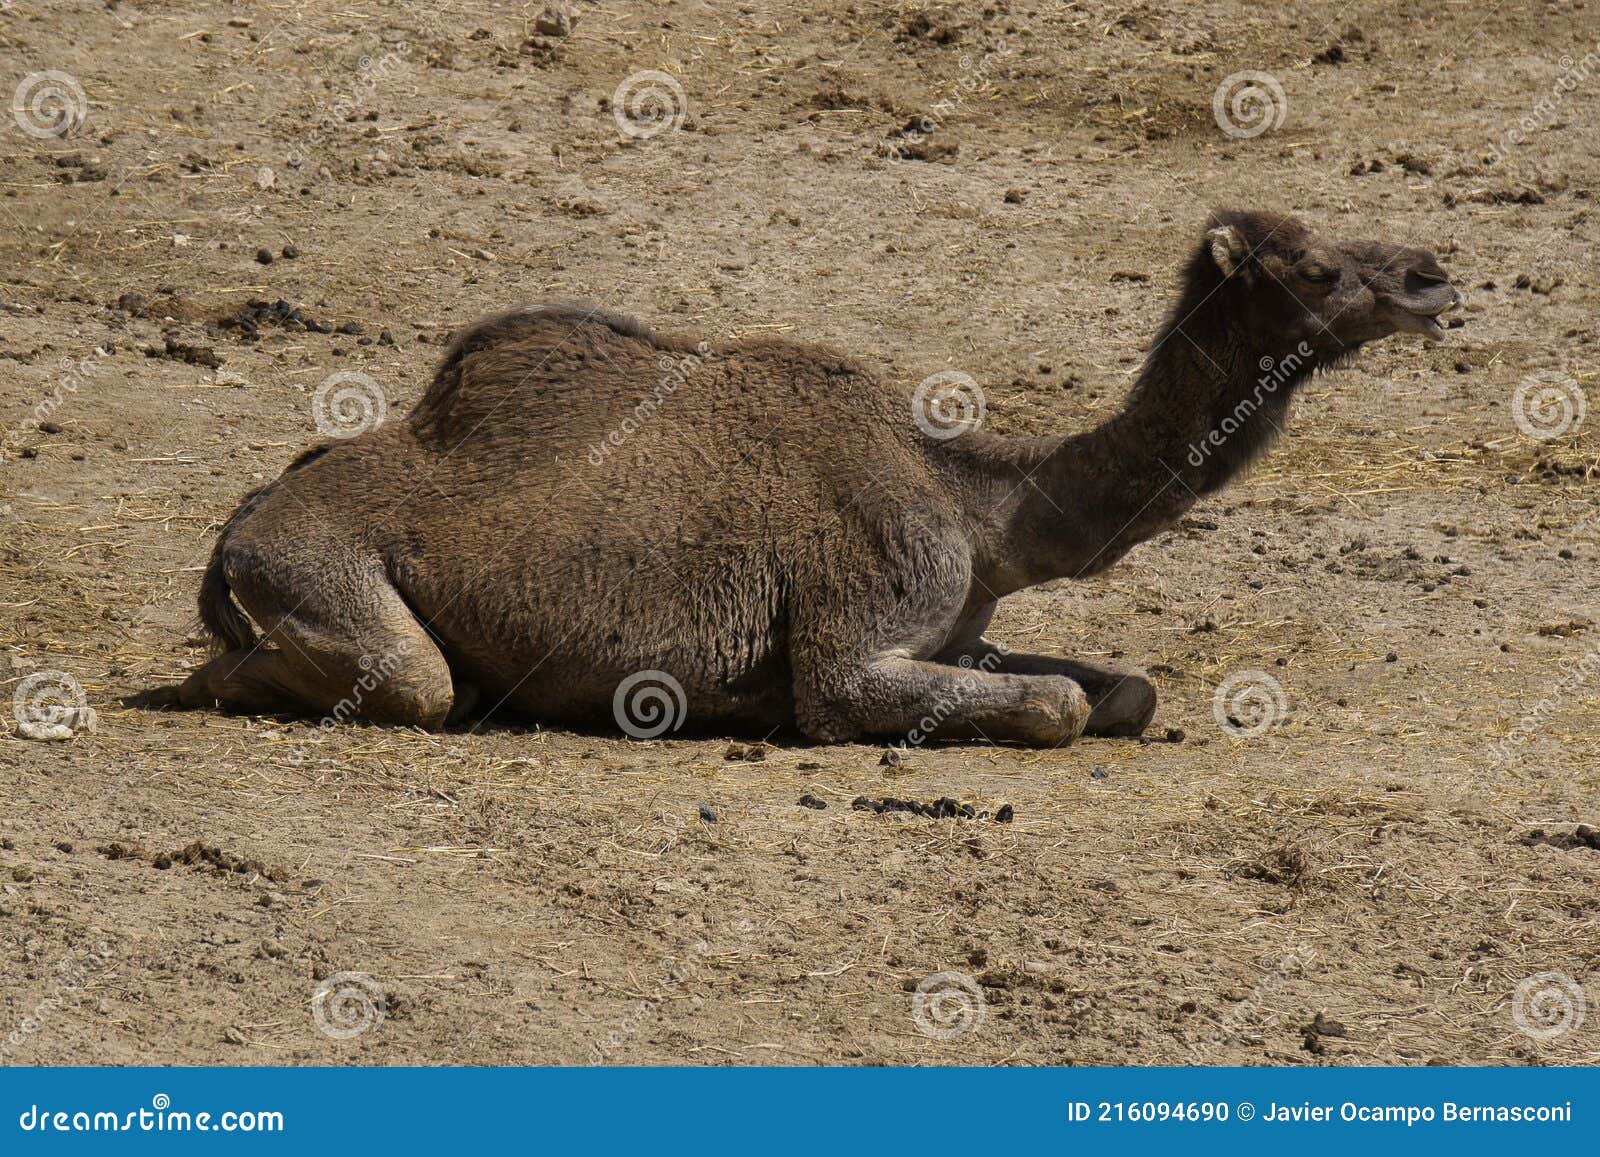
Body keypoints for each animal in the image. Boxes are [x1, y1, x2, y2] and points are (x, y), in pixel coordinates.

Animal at [144, 210, 1462, 745]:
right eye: (1313, 265)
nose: (1435, 274)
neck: (980, 508)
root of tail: (240, 523)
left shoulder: (962, 628)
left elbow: (1124, 688)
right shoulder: (856, 638)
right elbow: (1052, 704)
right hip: (322, 574)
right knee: (405, 676)